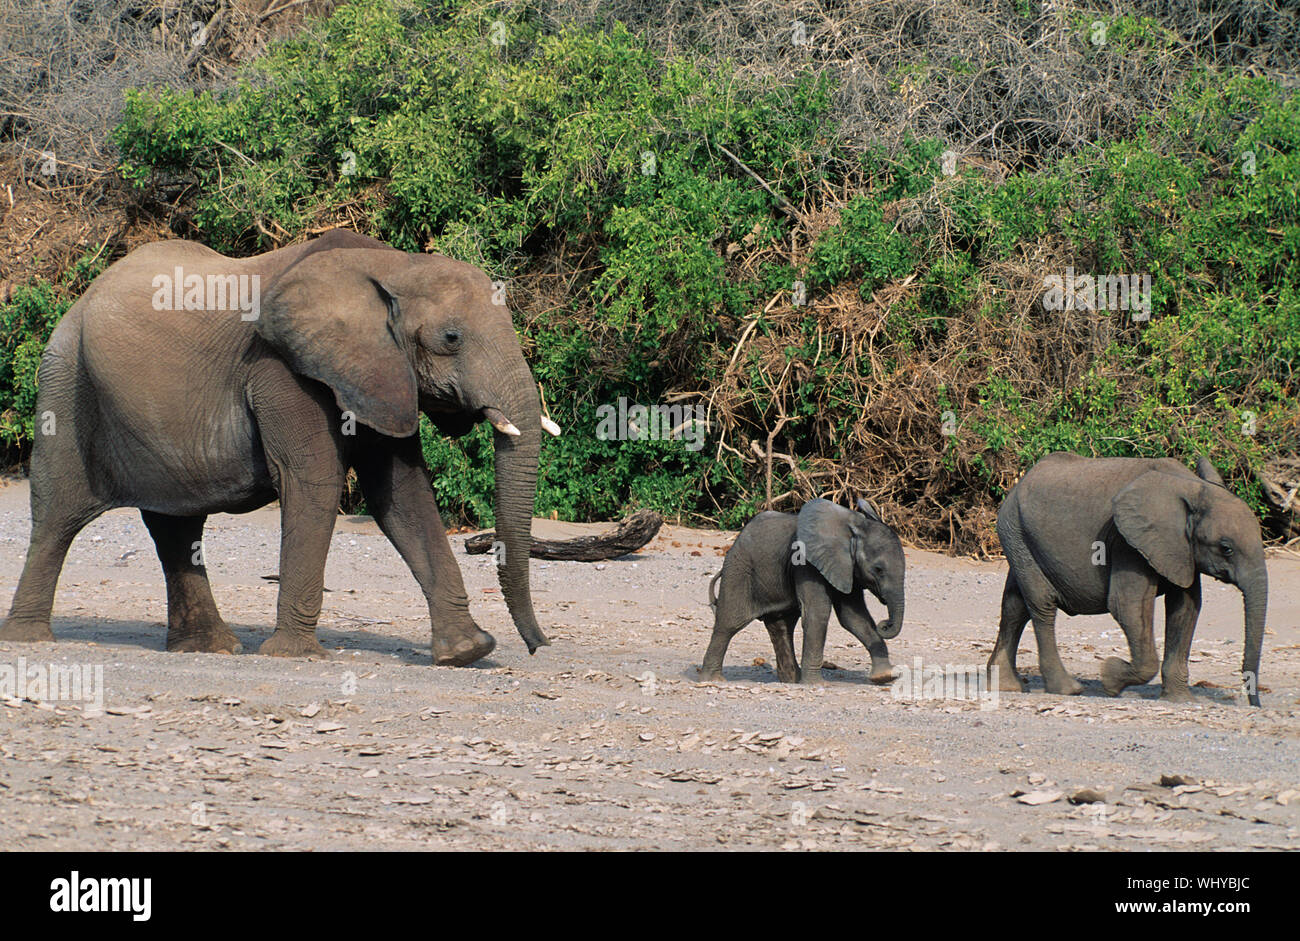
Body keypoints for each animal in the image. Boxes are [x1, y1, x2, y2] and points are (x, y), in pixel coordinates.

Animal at [0, 228, 553, 666]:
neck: (392, 265)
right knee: (58, 514)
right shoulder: (284, 370)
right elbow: (315, 482)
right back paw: (30, 640)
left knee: (176, 526)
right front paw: (295, 655)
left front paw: (467, 653)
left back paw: (210, 648)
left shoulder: (377, 374)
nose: (538, 647)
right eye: (452, 338)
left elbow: (403, 495)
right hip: (65, 380)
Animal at [699, 498, 906, 684]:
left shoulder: (847, 568)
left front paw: (884, 677)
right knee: (729, 623)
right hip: (738, 570)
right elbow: (818, 612)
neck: (853, 526)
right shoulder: (806, 563)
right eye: (878, 569)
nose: (884, 623)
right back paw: (712, 680)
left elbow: (853, 617)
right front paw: (816, 684)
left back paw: (791, 681)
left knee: (781, 627)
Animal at [987, 452, 1268, 705]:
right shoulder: (1126, 543)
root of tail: (1020, 481)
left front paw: (1181, 700)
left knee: (1015, 605)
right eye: (1226, 548)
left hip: (1019, 538)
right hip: (1016, 531)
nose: (1255, 703)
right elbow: (1127, 607)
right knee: (1042, 605)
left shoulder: (1182, 550)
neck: (1191, 486)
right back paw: (1068, 690)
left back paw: (1007, 686)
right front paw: (1110, 679)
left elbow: (1186, 608)